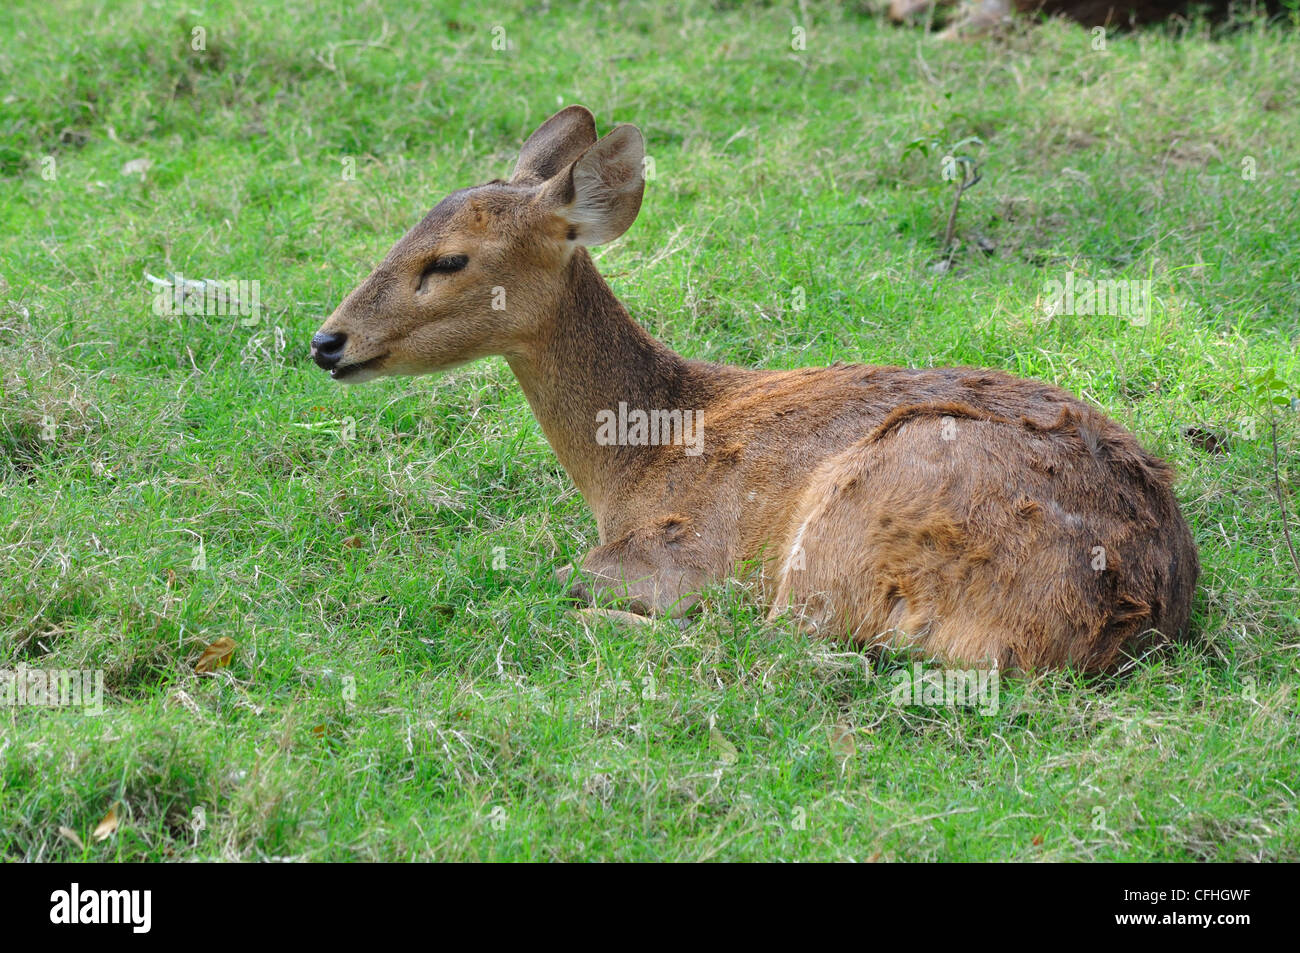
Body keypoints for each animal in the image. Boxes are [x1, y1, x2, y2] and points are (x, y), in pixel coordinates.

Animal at [311, 105, 1199, 673]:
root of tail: (1123, 613)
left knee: (795, 648)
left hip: (852, 521)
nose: (328, 342)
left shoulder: (674, 549)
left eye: (449, 259)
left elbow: (576, 579)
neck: (637, 453)